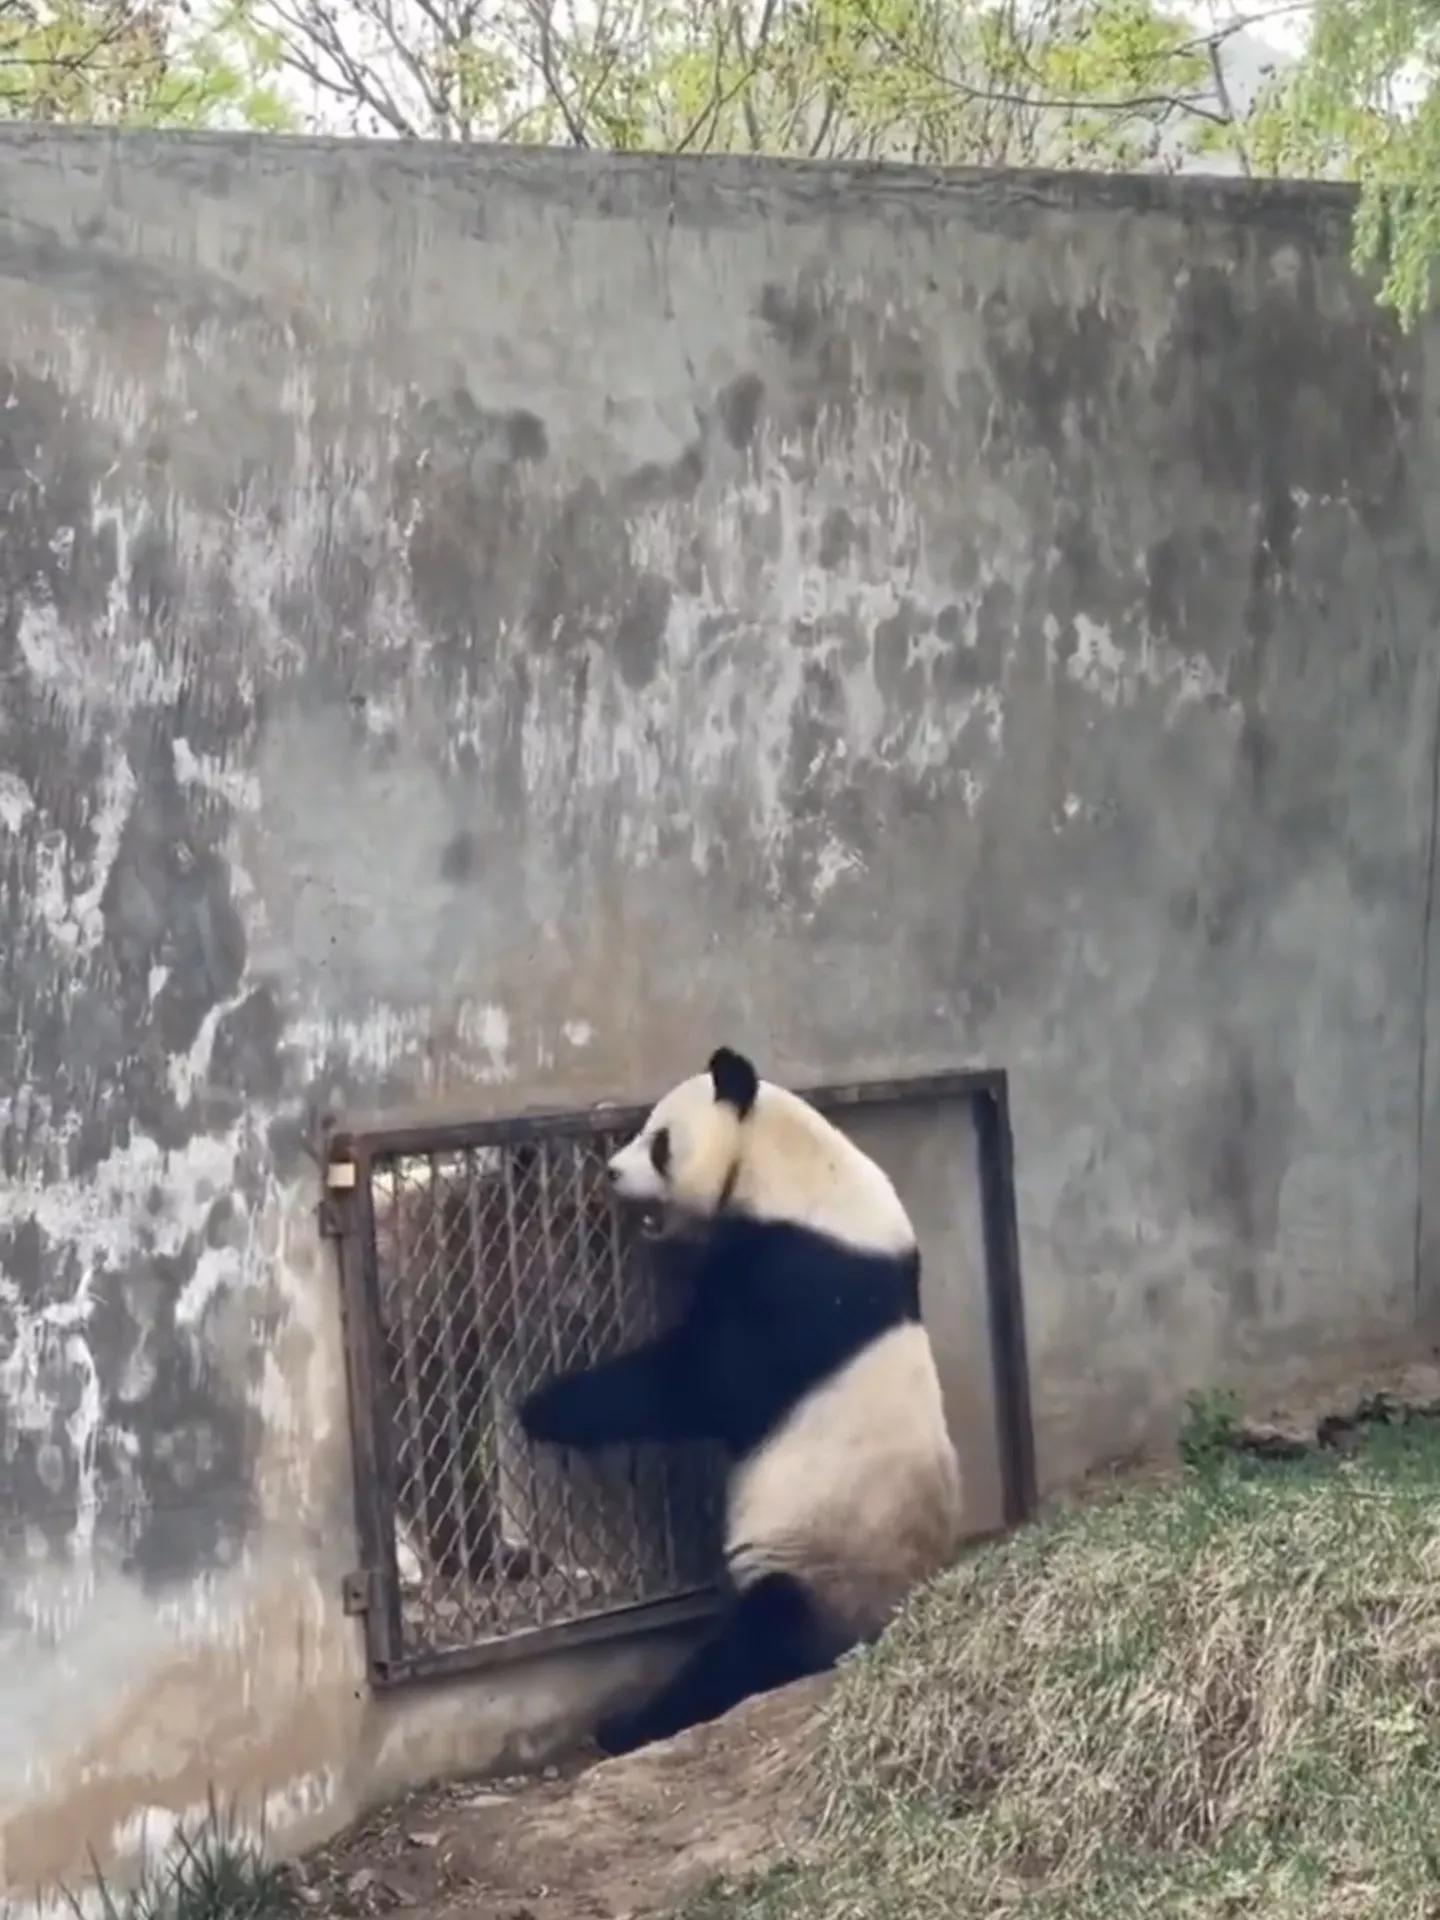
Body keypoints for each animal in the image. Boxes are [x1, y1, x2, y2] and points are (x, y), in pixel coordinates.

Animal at [518, 1045, 963, 1757]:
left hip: (821, 1568)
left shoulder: (800, 1278)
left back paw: (626, 1727)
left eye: (659, 1141)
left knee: (756, 1642)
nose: (611, 1173)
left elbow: (703, 1378)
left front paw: (546, 1407)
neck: (789, 1167)